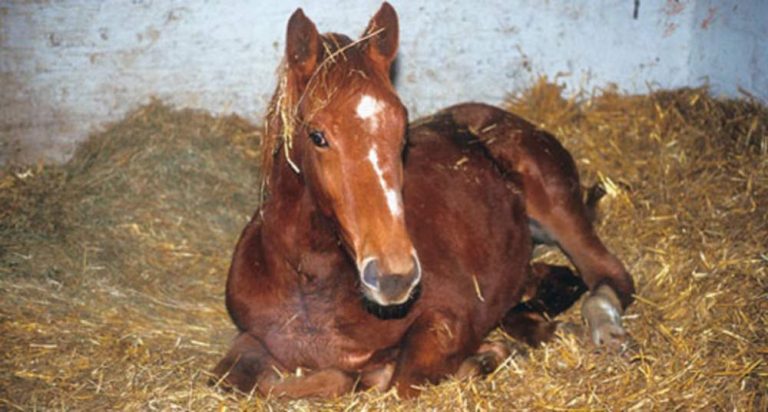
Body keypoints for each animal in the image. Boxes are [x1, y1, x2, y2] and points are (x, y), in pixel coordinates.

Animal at [212, 3, 635, 398]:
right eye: (318, 136)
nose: (394, 277)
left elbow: (400, 378)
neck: (308, 284)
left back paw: (604, 331)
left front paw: (485, 357)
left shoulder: (450, 316)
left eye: (403, 132)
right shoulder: (254, 338)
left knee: (608, 275)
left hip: (557, 207)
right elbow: (236, 377)